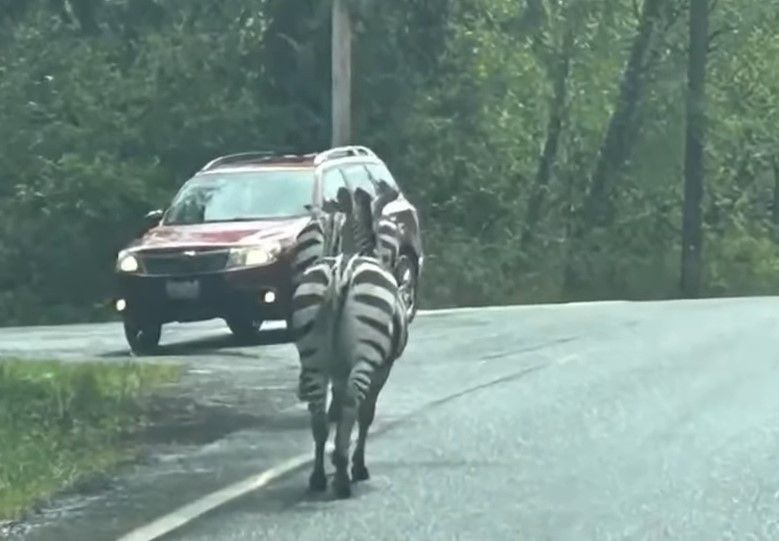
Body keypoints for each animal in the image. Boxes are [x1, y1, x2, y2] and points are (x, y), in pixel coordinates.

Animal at [291, 251, 409, 498]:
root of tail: (341, 271)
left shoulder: (338, 372)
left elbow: (336, 407)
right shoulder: (382, 370)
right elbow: (366, 416)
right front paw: (358, 467)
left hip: (313, 358)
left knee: (319, 416)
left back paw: (319, 477)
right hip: (366, 353)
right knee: (352, 406)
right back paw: (343, 478)